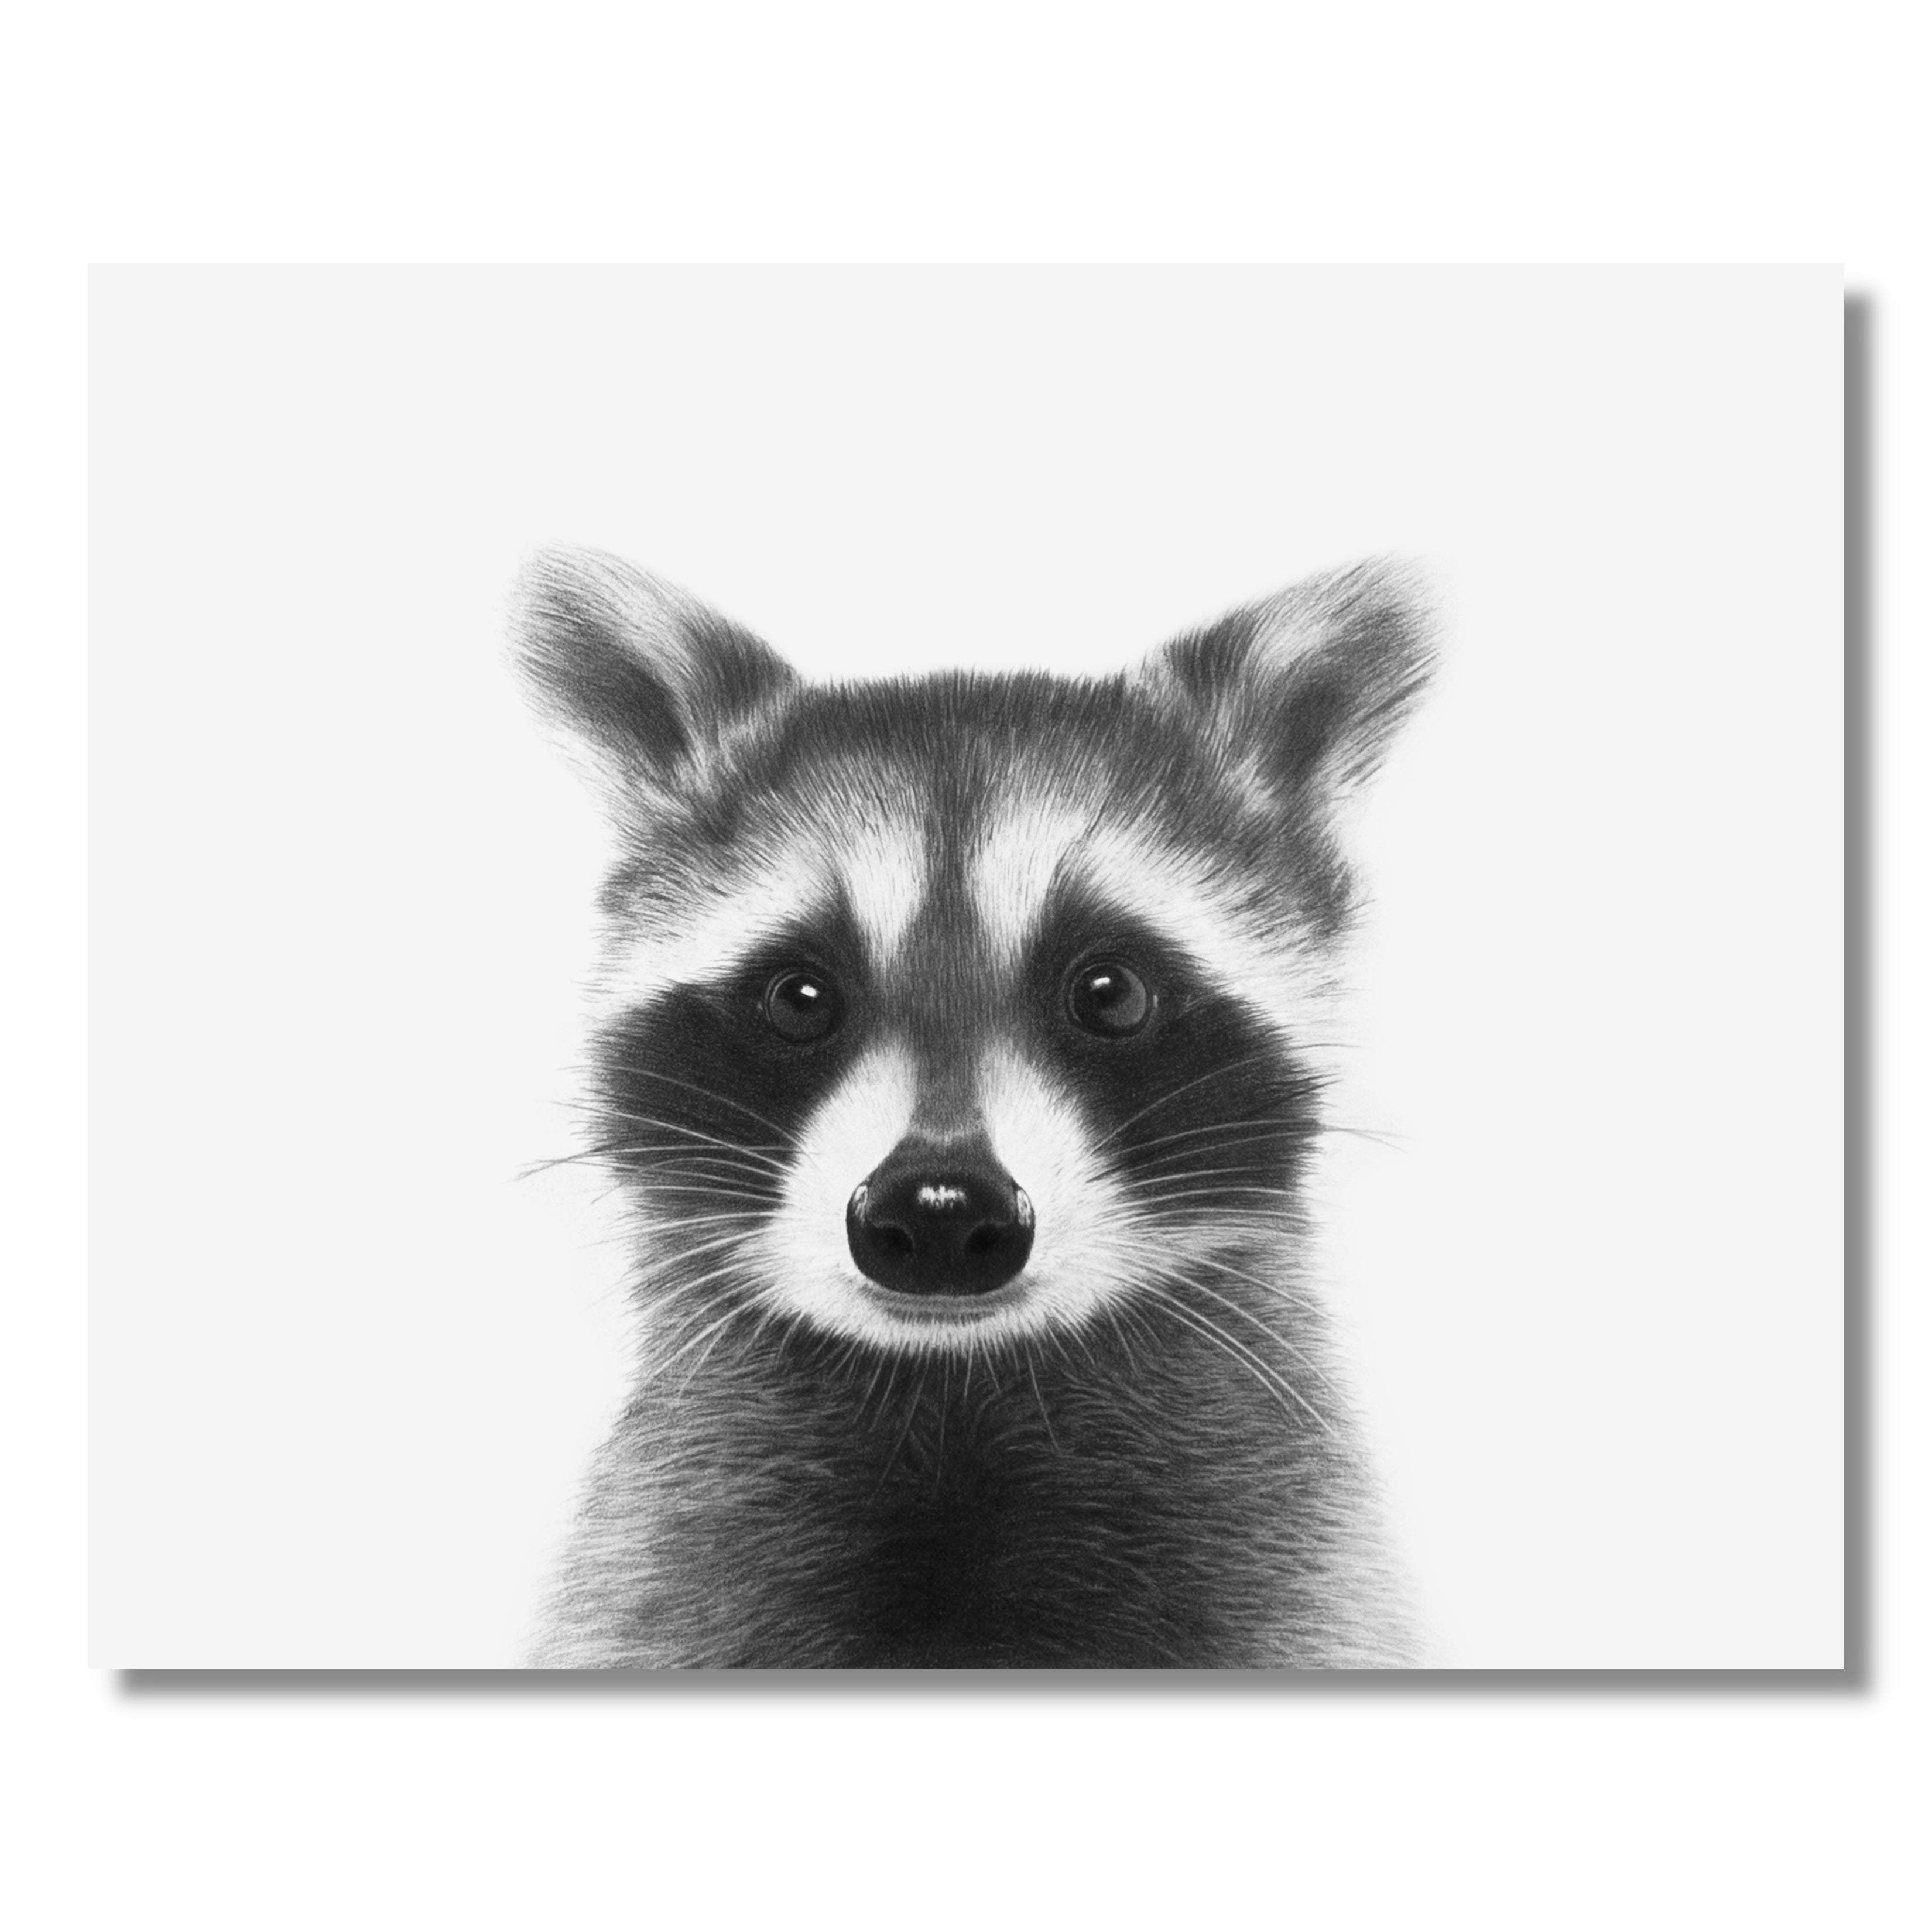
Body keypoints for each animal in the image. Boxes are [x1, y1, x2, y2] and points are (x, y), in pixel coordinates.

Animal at [513, 548, 1433, 1668]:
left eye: (1110, 993)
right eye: (799, 998)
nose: (942, 1208)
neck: (957, 1389)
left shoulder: (1300, 1577)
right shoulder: (664, 1565)